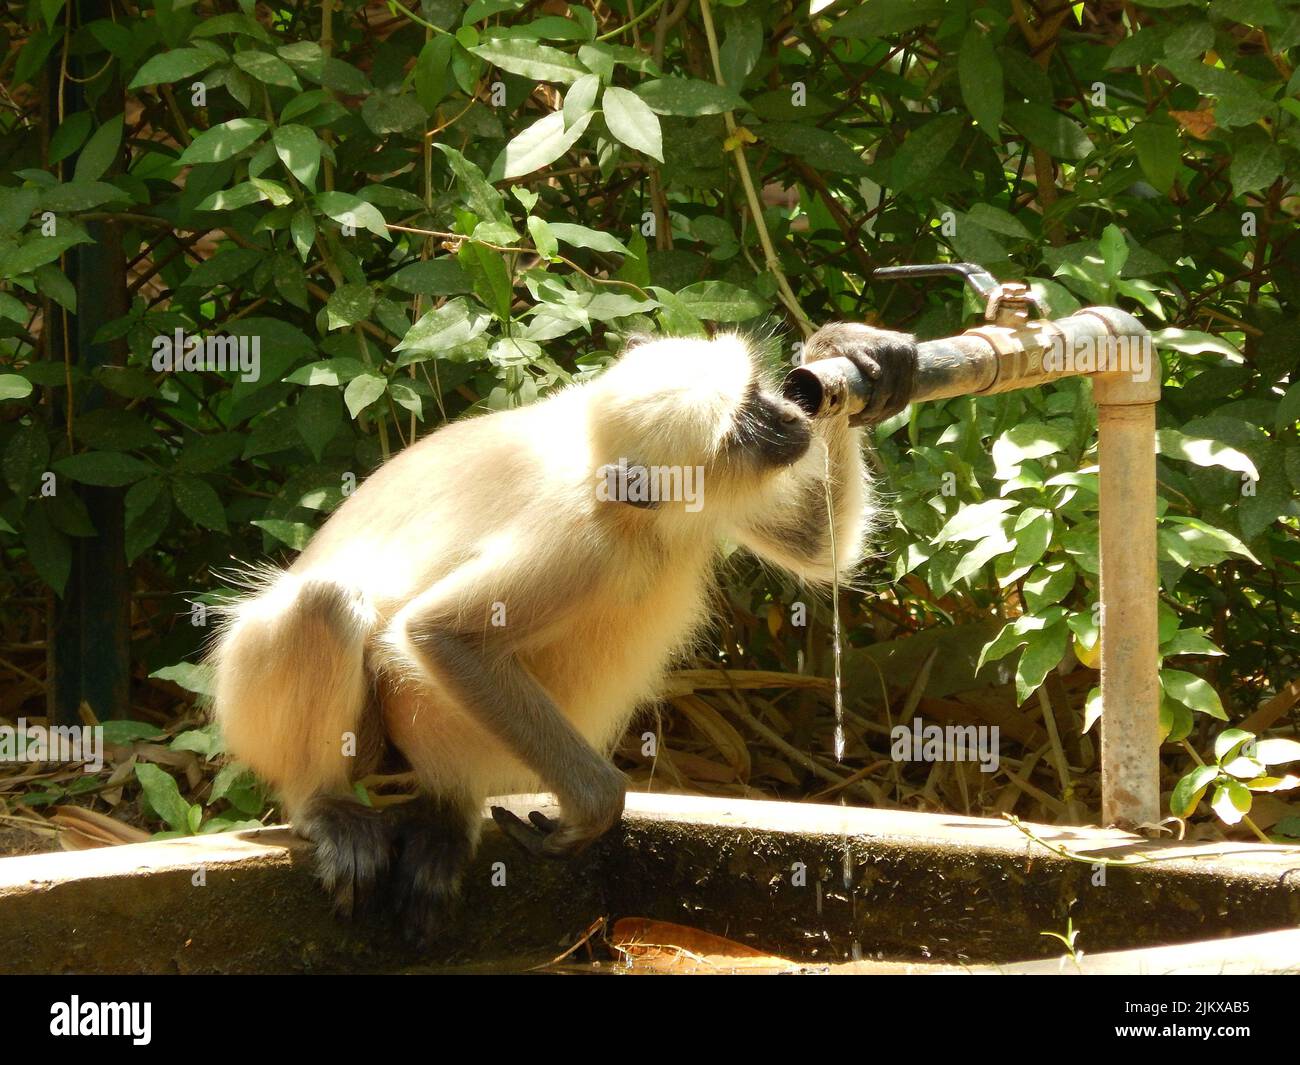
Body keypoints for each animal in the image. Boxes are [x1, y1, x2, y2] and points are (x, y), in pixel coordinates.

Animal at [208, 324, 916, 943]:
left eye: (758, 395)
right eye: (745, 424)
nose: (791, 415)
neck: (629, 511)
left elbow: (819, 547)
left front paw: (851, 353)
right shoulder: (582, 543)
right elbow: (442, 635)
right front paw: (598, 803)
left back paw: (444, 819)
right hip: (268, 712)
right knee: (326, 603)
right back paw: (325, 805)